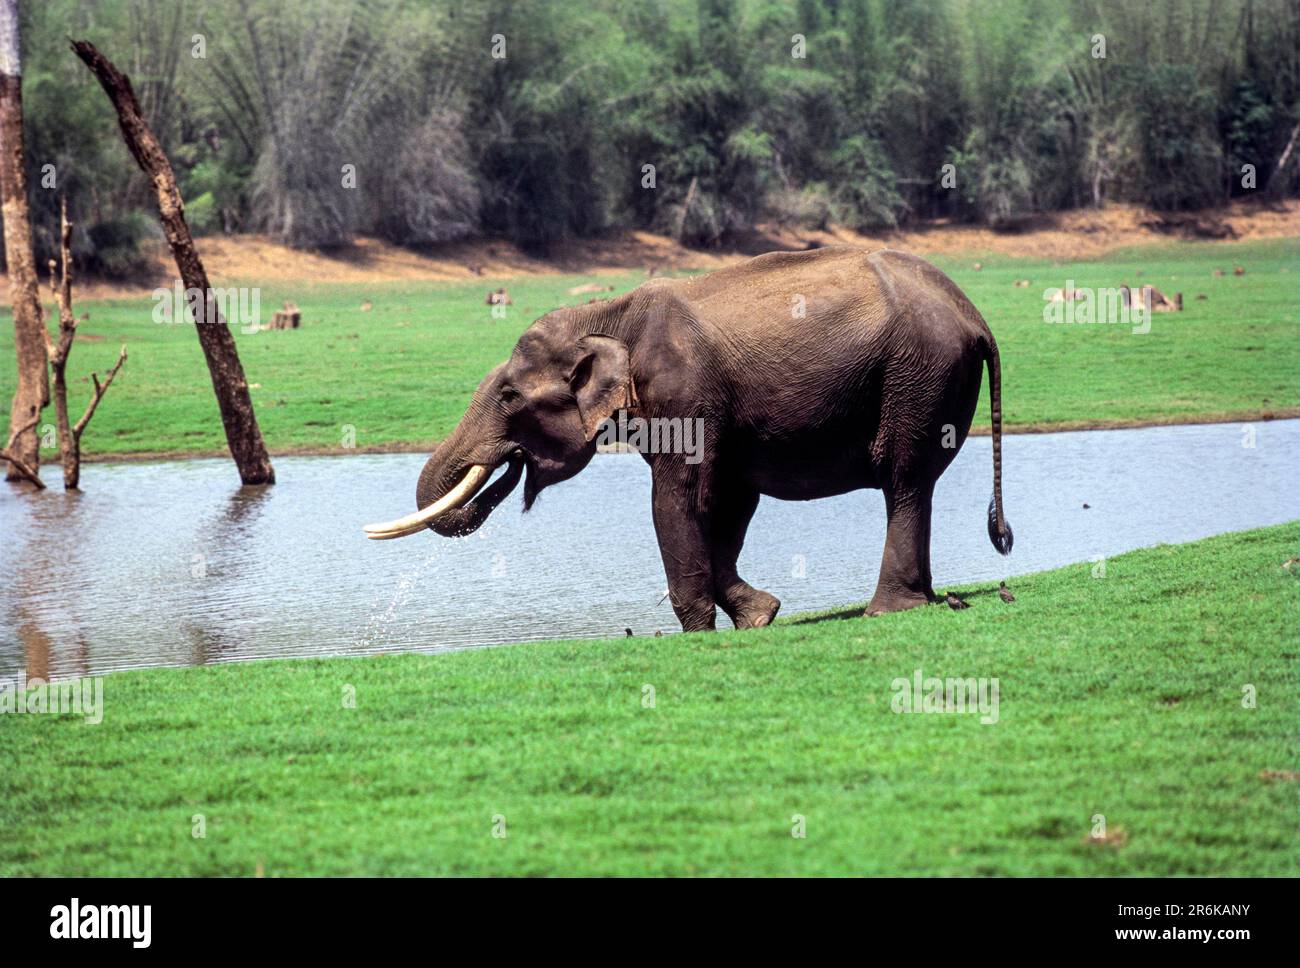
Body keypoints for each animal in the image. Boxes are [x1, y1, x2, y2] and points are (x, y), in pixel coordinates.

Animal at [364, 246, 1013, 632]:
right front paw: (760, 617)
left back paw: (887, 610)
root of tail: (975, 314)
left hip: (917, 375)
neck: (607, 313)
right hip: (929, 378)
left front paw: (700, 632)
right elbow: (727, 500)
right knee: (916, 482)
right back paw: (919, 600)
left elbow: (676, 497)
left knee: (901, 476)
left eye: (508, 398)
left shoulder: (682, 395)